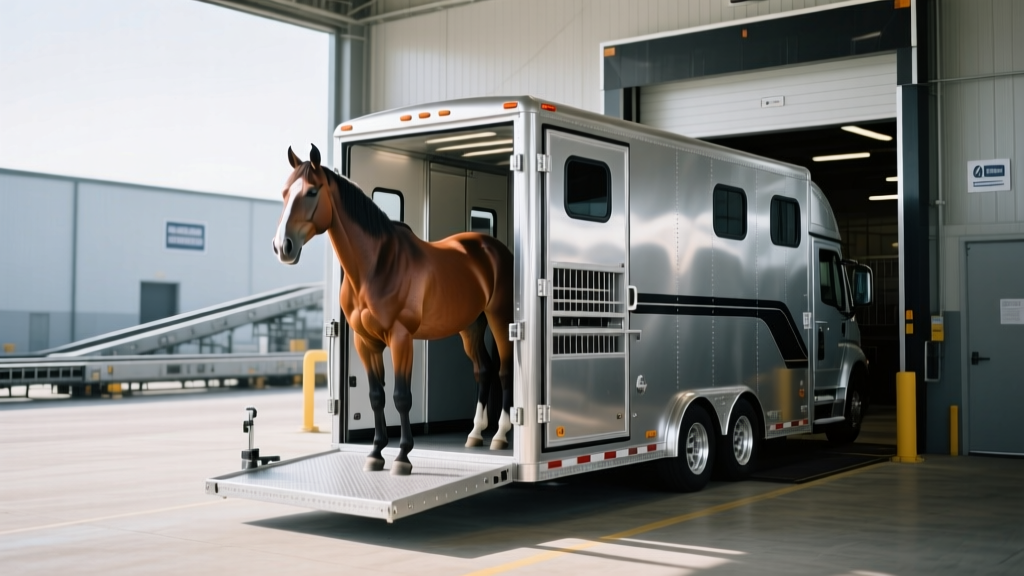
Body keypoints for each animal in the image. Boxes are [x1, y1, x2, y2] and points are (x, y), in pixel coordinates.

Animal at [272, 144, 514, 476]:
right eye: (284, 192)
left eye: (311, 191)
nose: (282, 247)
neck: (375, 266)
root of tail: (495, 248)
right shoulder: (366, 342)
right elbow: (377, 396)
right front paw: (375, 453)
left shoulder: (401, 339)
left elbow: (401, 397)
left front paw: (403, 456)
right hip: (471, 325)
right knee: (484, 370)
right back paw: (475, 433)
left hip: (499, 318)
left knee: (504, 369)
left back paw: (500, 436)